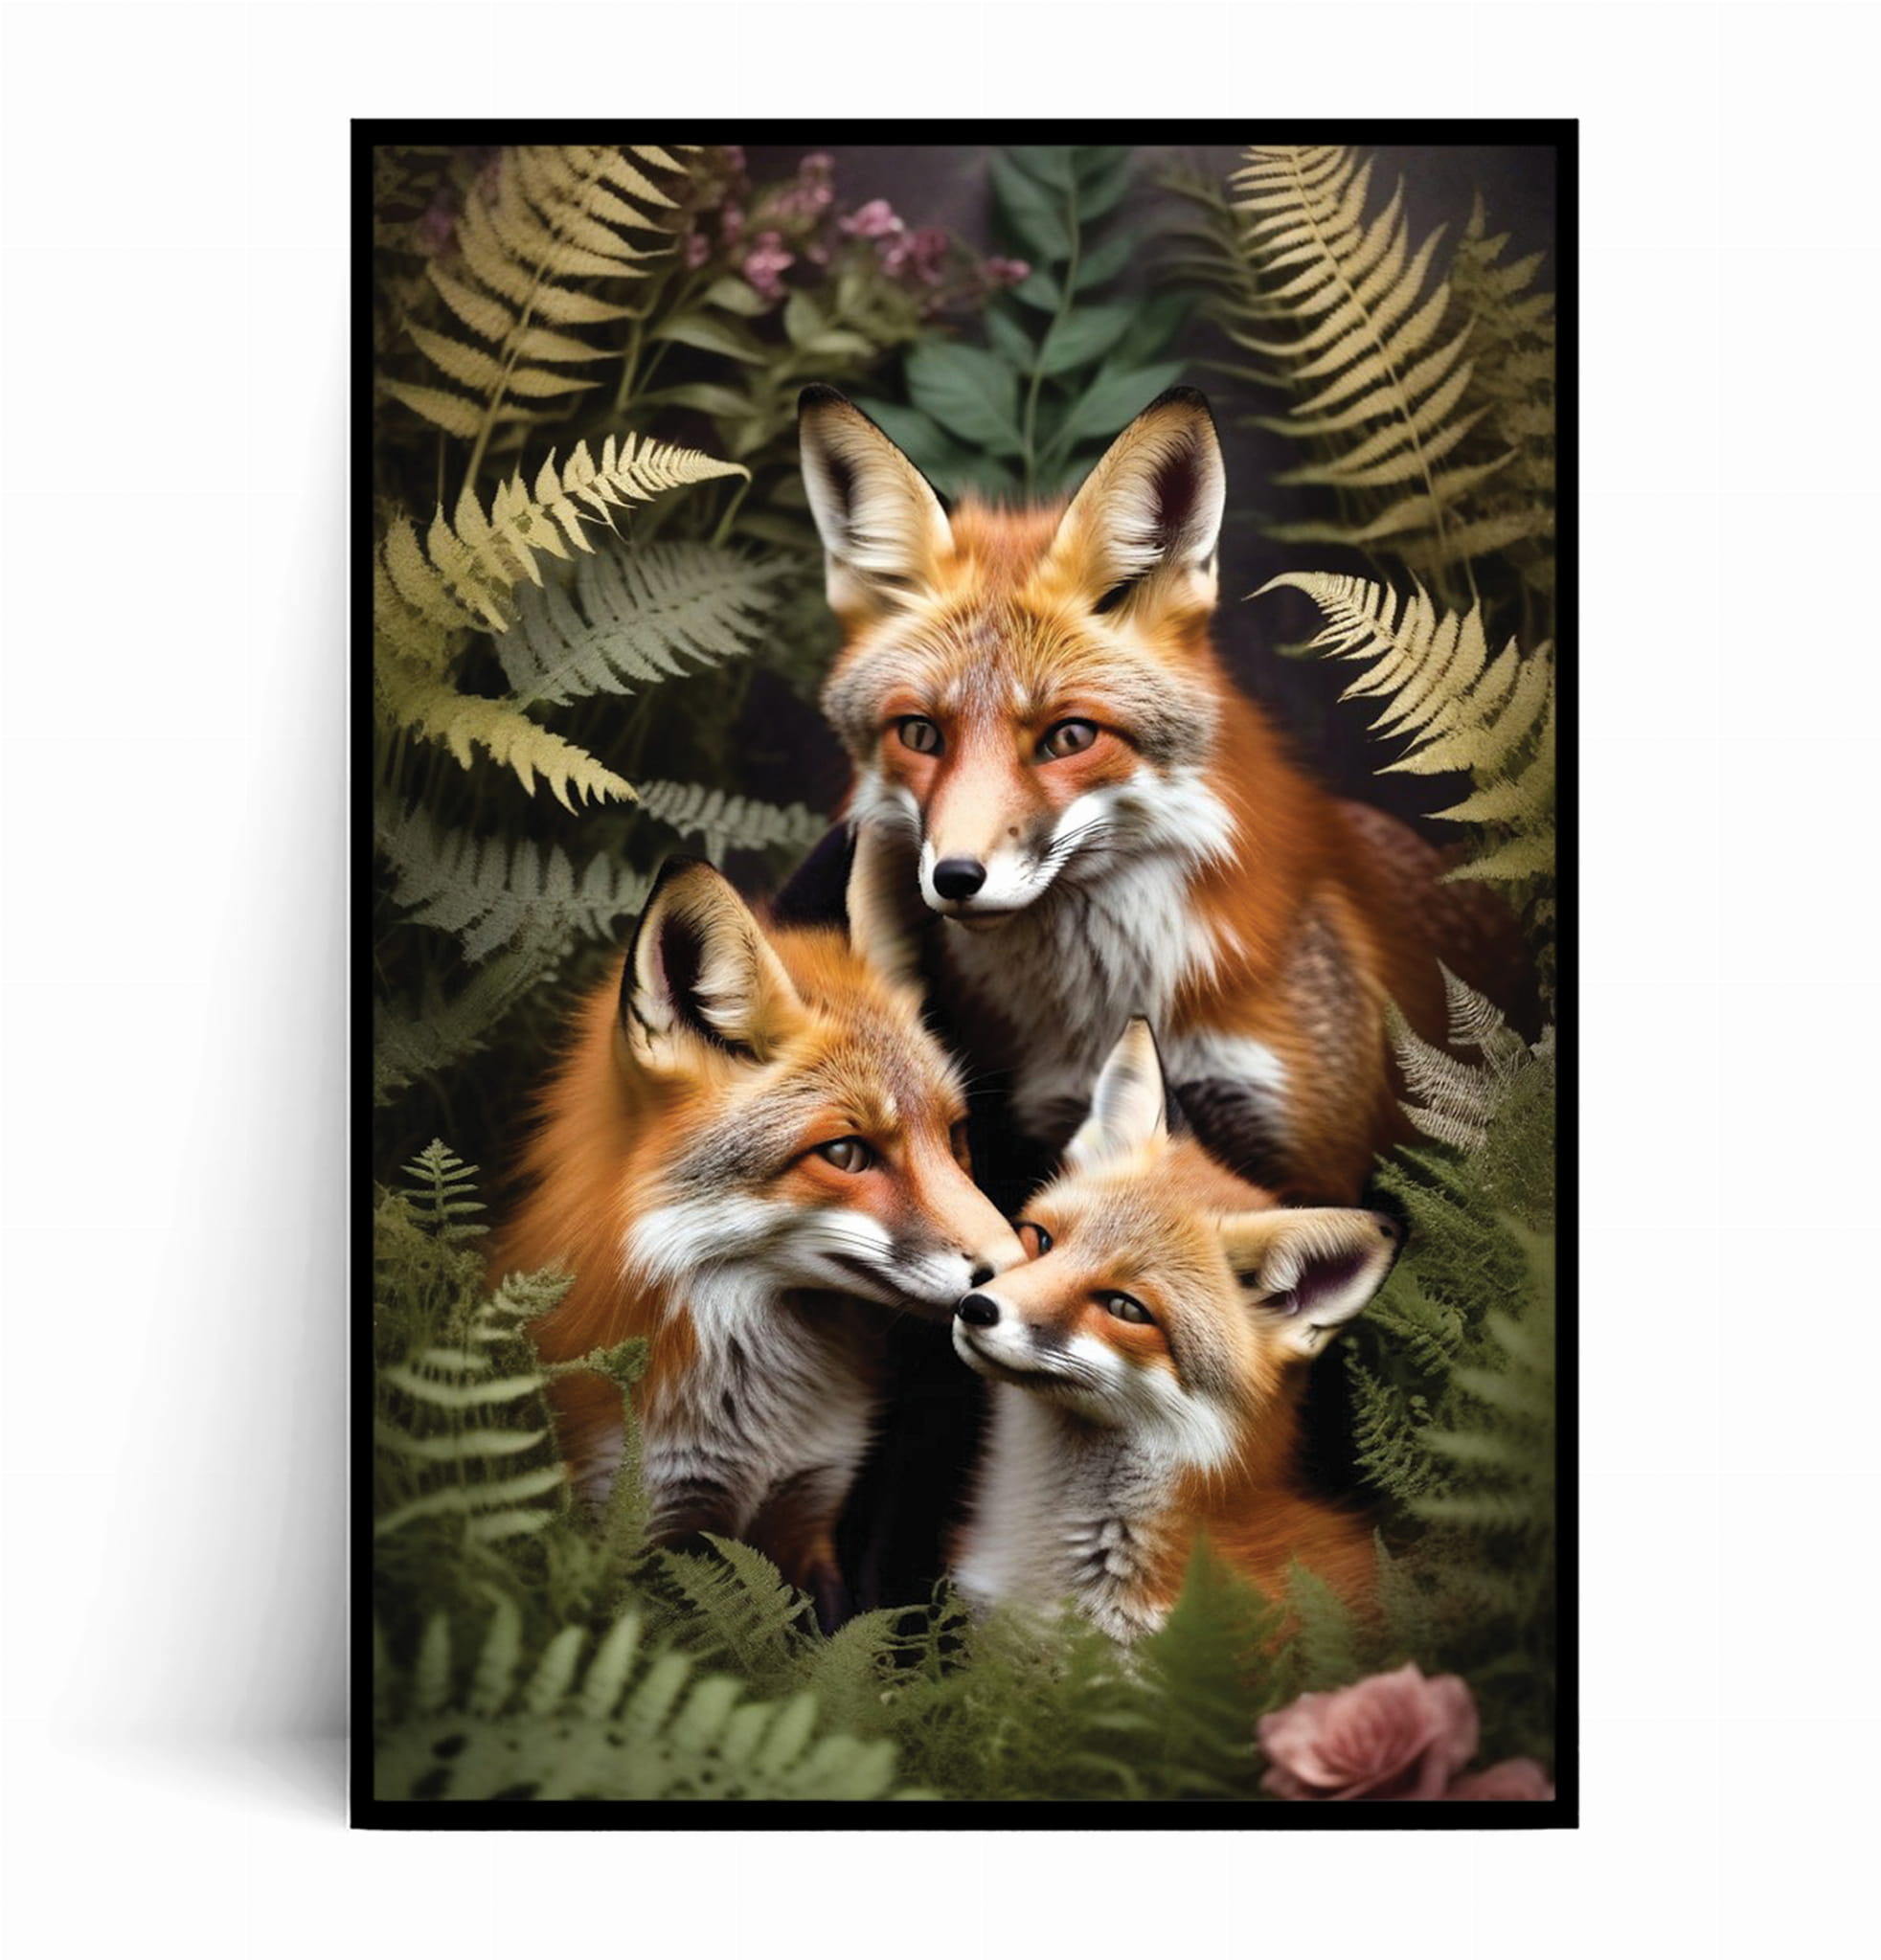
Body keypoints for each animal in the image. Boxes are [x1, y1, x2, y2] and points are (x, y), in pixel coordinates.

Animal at [488, 838, 1024, 1628]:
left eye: (954, 1136)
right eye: (845, 1153)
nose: (1015, 1271)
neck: (754, 1435)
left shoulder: (808, 1517)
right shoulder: (632, 1526)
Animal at [797, 382, 1525, 1205]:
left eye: (1070, 737)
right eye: (920, 734)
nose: (955, 878)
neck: (1115, 1013)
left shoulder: (1309, 1156)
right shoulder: (1038, 1135)